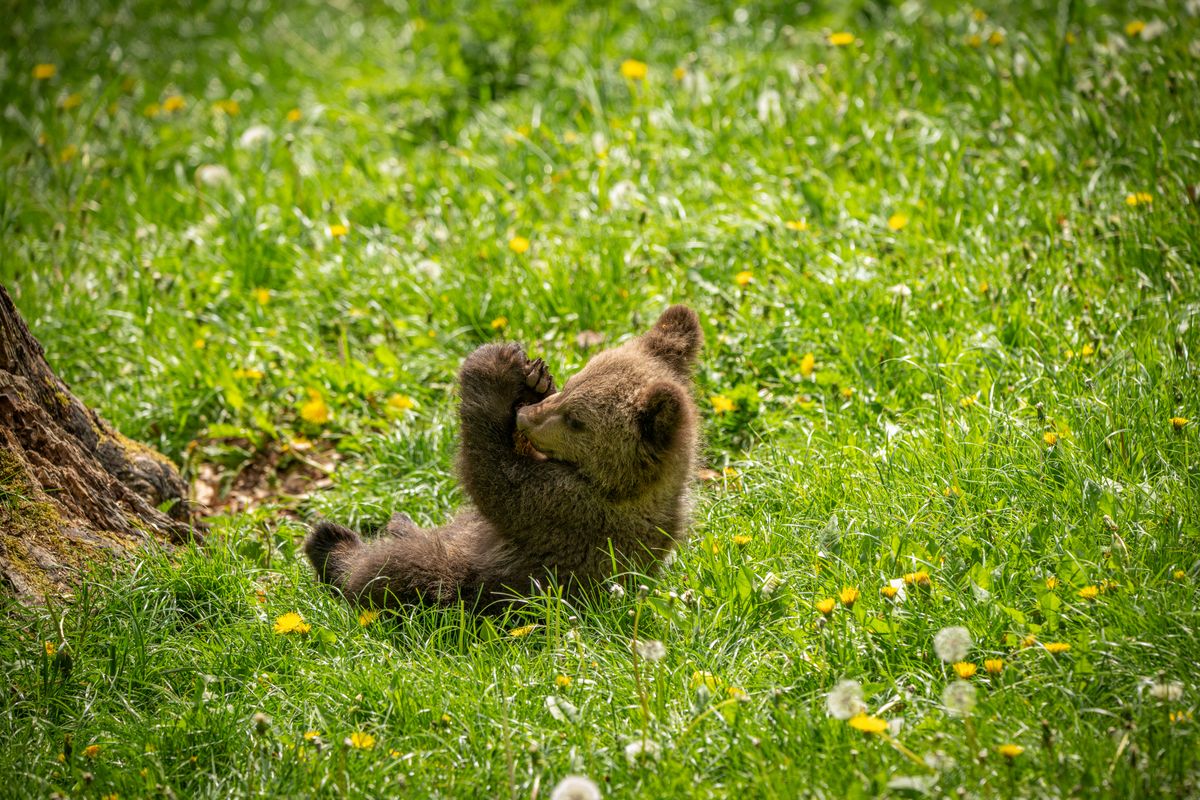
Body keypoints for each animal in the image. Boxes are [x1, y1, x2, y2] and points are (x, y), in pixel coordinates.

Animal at [304, 304, 703, 611]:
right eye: (575, 379)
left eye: (576, 420)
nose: (527, 415)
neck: (617, 484)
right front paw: (533, 377)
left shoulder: (568, 512)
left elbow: (493, 479)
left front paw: (494, 368)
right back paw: (397, 523)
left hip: (471, 582)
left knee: (399, 569)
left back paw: (332, 541)